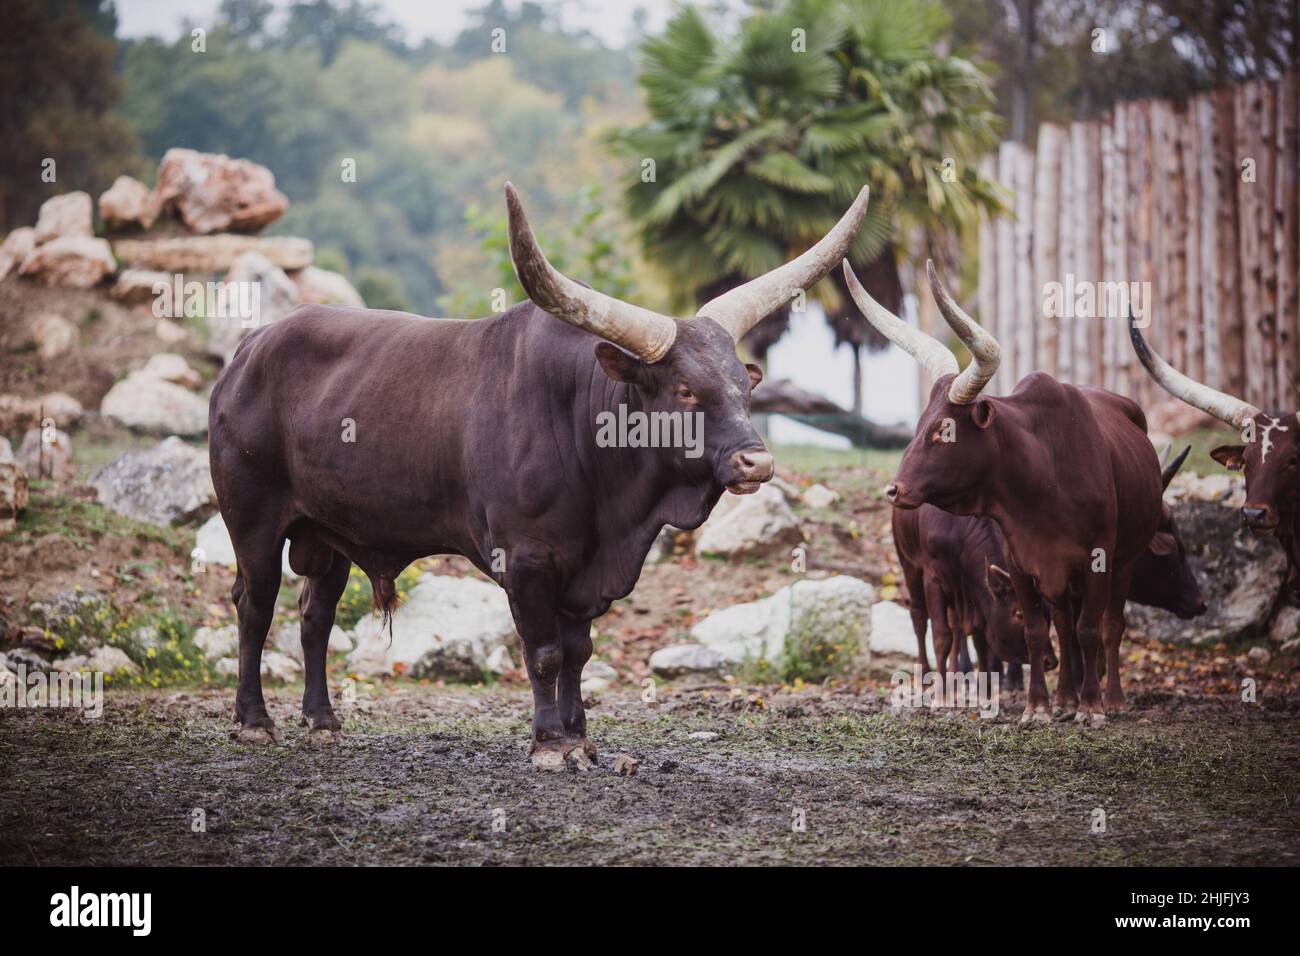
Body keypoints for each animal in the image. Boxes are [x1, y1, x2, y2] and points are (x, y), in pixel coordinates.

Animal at [208, 182, 870, 769]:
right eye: (685, 389)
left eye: (744, 385)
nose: (757, 462)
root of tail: (250, 347)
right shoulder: (526, 560)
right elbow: (545, 653)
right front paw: (550, 744)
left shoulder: (585, 570)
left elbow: (578, 652)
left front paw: (580, 740)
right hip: (253, 520)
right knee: (254, 605)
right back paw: (254, 722)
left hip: (328, 534)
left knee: (314, 615)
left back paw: (322, 722)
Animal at [845, 258, 1164, 725]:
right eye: (920, 423)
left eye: (945, 430)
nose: (894, 489)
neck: (1044, 481)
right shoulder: (1020, 561)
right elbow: (1037, 629)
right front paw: (1039, 707)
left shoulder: (1098, 558)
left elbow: (1089, 629)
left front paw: (1090, 707)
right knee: (1057, 624)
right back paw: (1063, 699)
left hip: (1126, 557)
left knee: (1109, 625)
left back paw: (1112, 698)